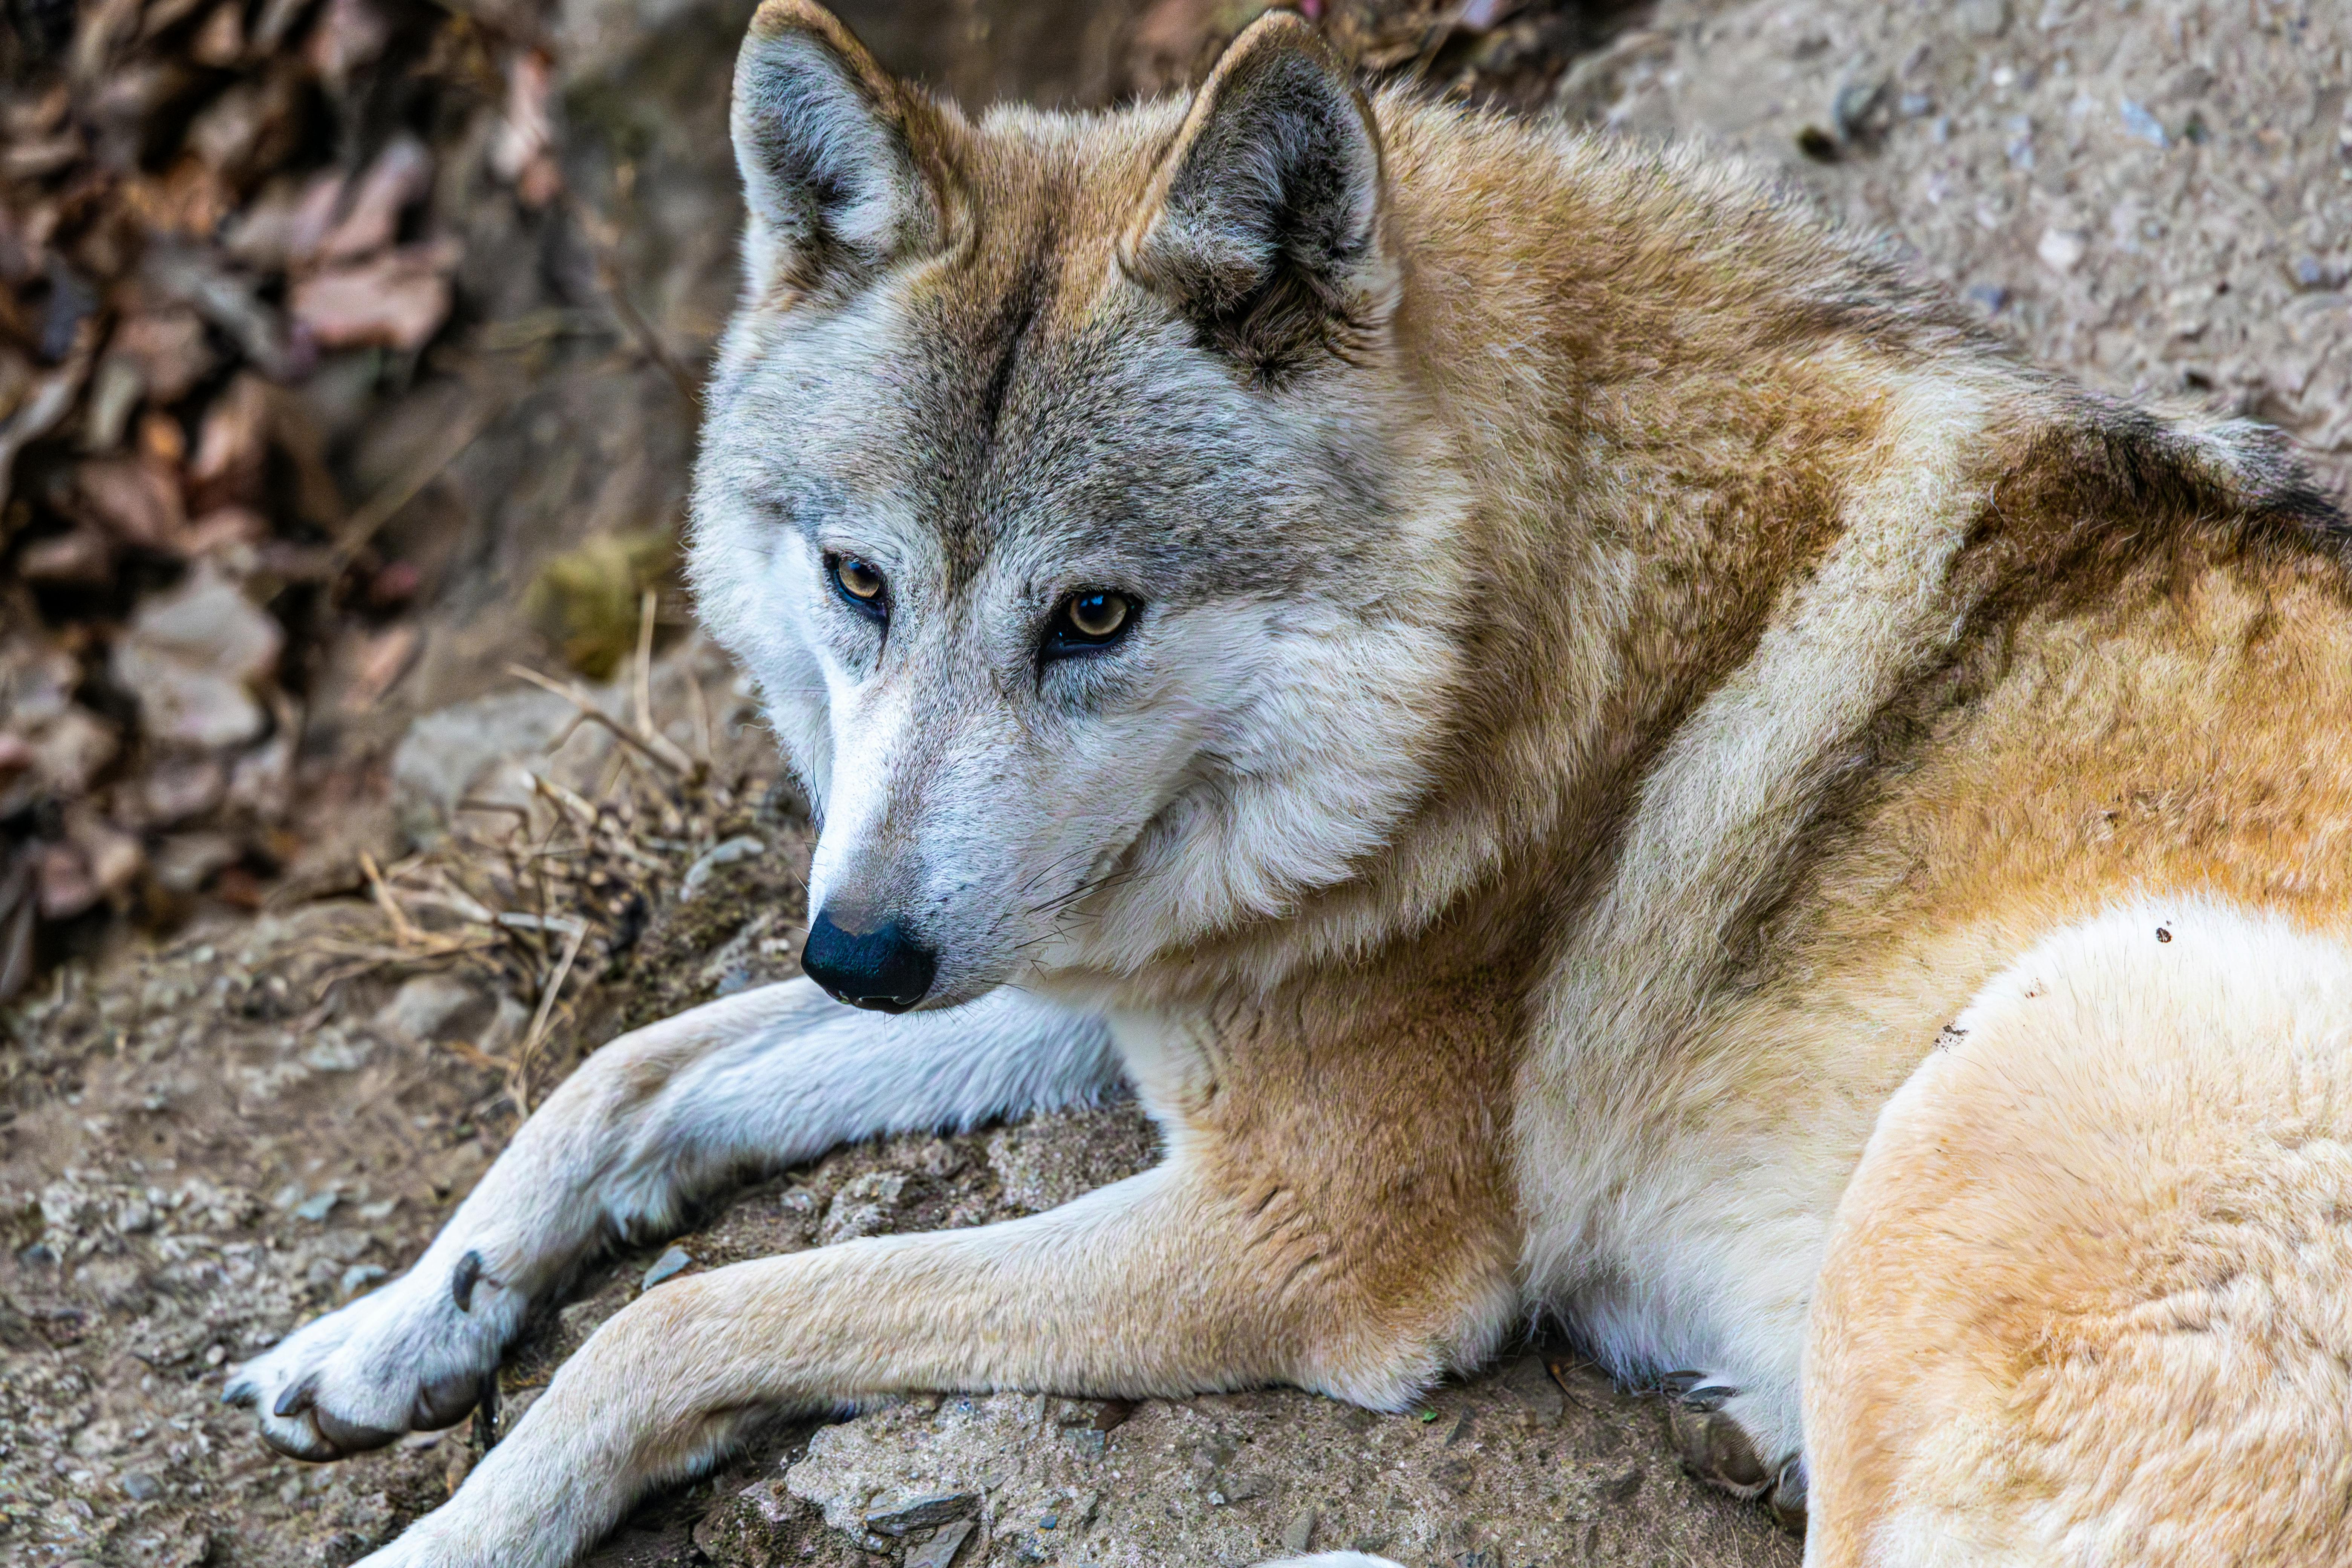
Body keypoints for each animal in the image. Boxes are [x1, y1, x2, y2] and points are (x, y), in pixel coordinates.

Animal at [221, 5, 2352, 1565]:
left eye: (1093, 613)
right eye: (860, 584)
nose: (859, 953)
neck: (1543, 618)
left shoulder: (1310, 1239)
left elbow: (688, 1317)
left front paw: (450, 1532)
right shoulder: (1109, 983)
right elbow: (626, 1073)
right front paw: (384, 1332)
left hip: (2039, 1055)